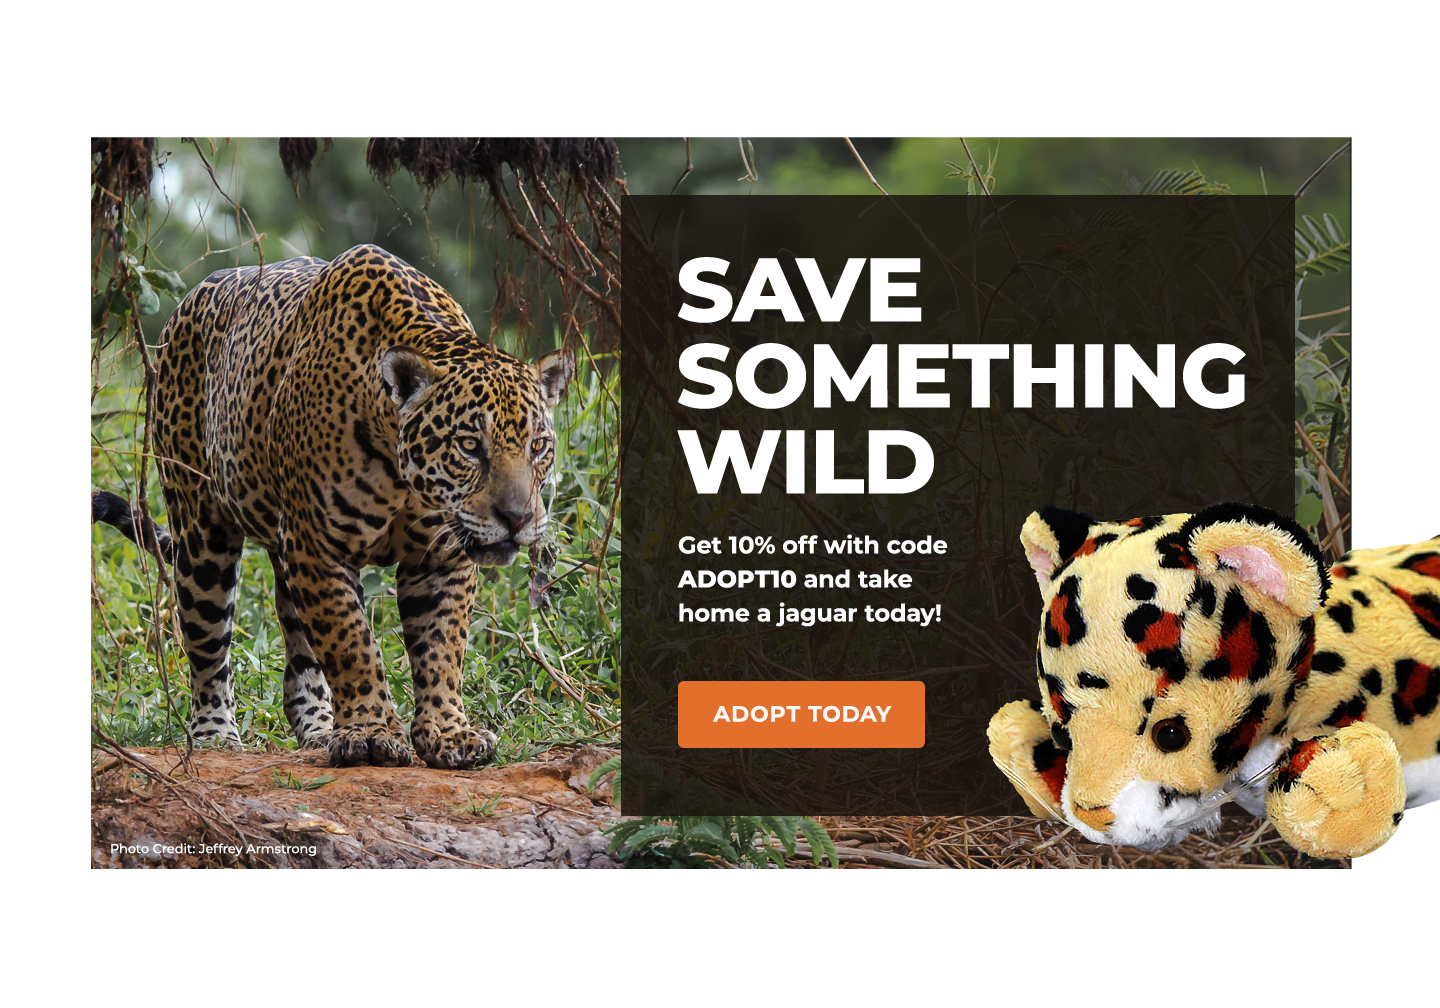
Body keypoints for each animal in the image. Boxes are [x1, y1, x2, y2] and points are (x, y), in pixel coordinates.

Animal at [94, 244, 575, 769]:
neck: (401, 471)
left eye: (538, 446)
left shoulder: (442, 557)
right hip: (202, 535)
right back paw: (216, 733)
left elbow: (442, 648)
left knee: (301, 656)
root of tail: (189, 300)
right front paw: (371, 734)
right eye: (470, 446)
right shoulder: (318, 547)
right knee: (207, 646)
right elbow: (351, 644)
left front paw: (448, 733)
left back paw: (320, 729)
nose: (518, 519)